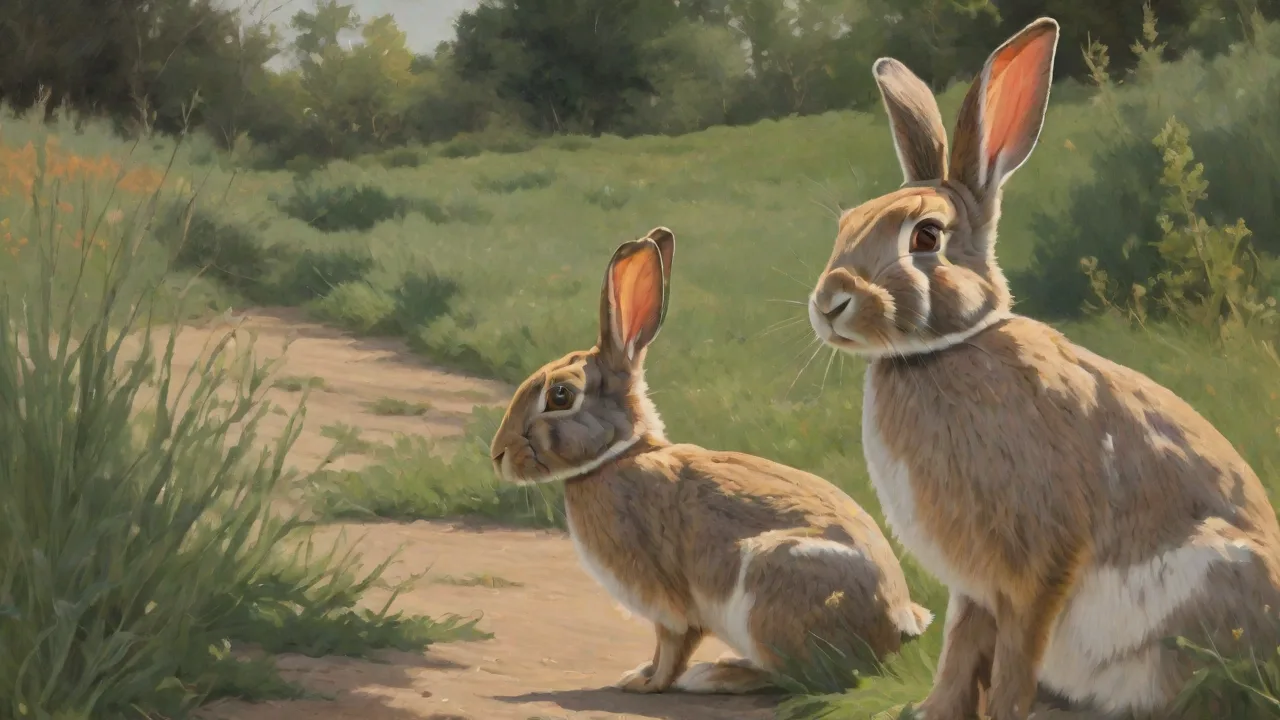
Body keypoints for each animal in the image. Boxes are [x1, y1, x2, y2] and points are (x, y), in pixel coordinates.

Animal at [489, 227, 934, 695]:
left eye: (560, 396)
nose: (498, 456)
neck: (618, 456)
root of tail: (897, 623)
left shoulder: (668, 599)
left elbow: (672, 644)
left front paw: (646, 684)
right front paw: (639, 674)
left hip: (771, 586)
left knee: (802, 676)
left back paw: (718, 673)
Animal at [804, 15, 1280, 720]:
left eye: (926, 237)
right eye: (846, 224)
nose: (829, 302)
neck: (938, 353)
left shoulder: (1037, 562)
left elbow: (1012, 655)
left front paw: (1001, 710)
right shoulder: (974, 586)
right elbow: (960, 648)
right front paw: (933, 710)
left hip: (1202, 602)